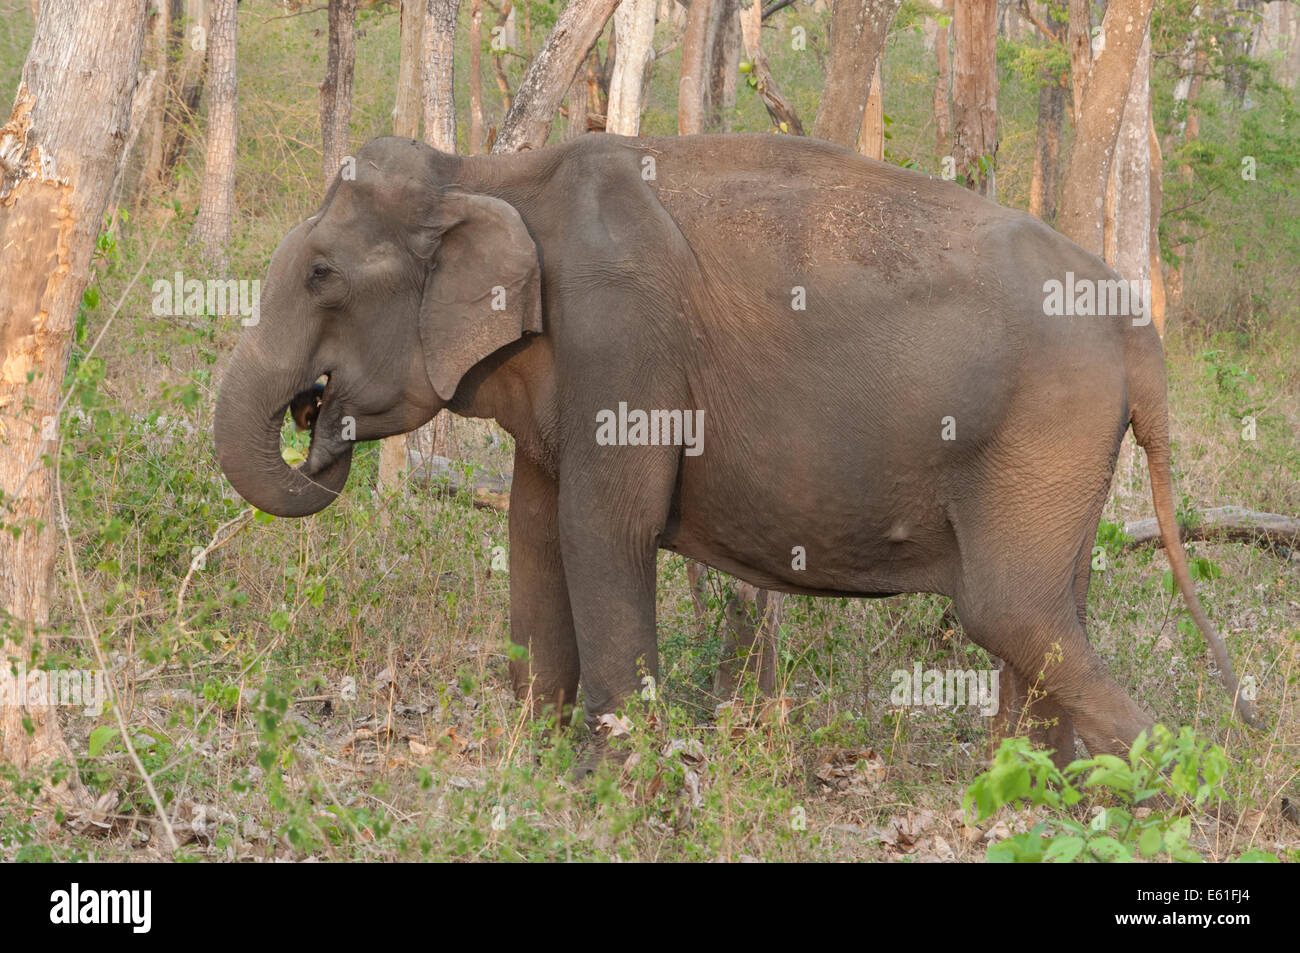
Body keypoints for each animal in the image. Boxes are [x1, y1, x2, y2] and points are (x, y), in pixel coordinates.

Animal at [214, 133, 1257, 767]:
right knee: (1049, 616)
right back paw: (1028, 799)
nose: (319, 426)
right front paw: (530, 754)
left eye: (322, 273)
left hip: (1044, 435)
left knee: (1013, 612)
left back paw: (1171, 787)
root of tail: (1136, 328)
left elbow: (604, 531)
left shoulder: (623, 340)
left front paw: (611, 778)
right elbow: (533, 531)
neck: (494, 170)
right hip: (1064, 461)